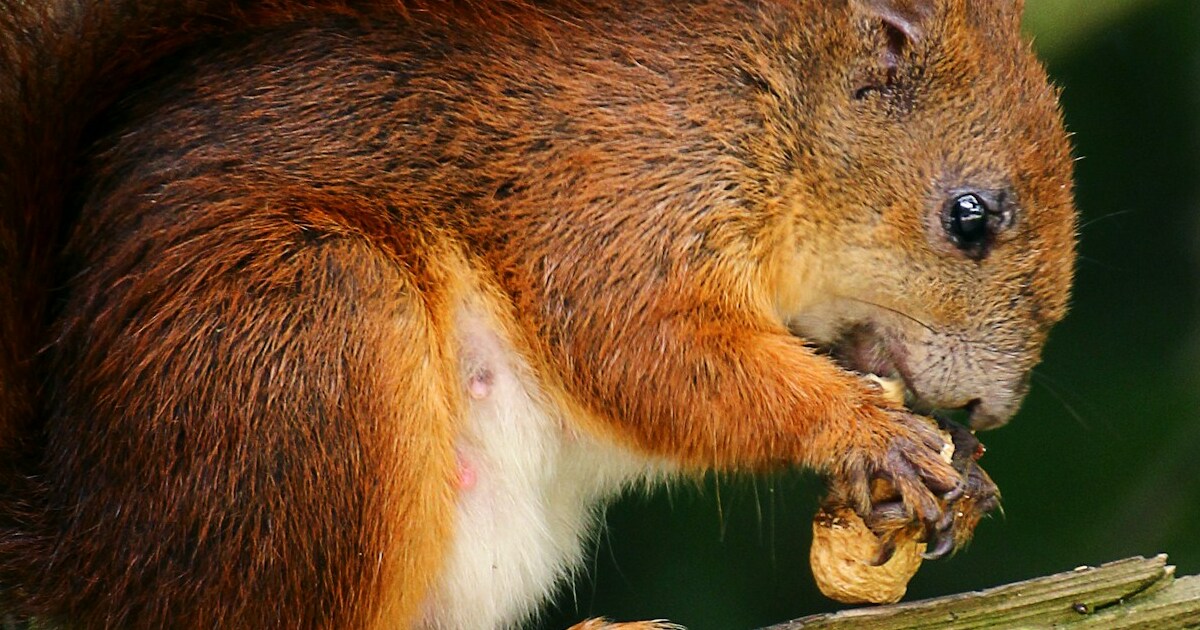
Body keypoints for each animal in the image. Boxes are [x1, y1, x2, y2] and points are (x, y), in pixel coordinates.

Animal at [0, 0, 1076, 628]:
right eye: (970, 217)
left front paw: (962, 475)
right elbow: (643, 349)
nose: (993, 409)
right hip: (314, 335)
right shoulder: (613, 192)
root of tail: (91, 560)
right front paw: (868, 430)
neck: (763, 103)